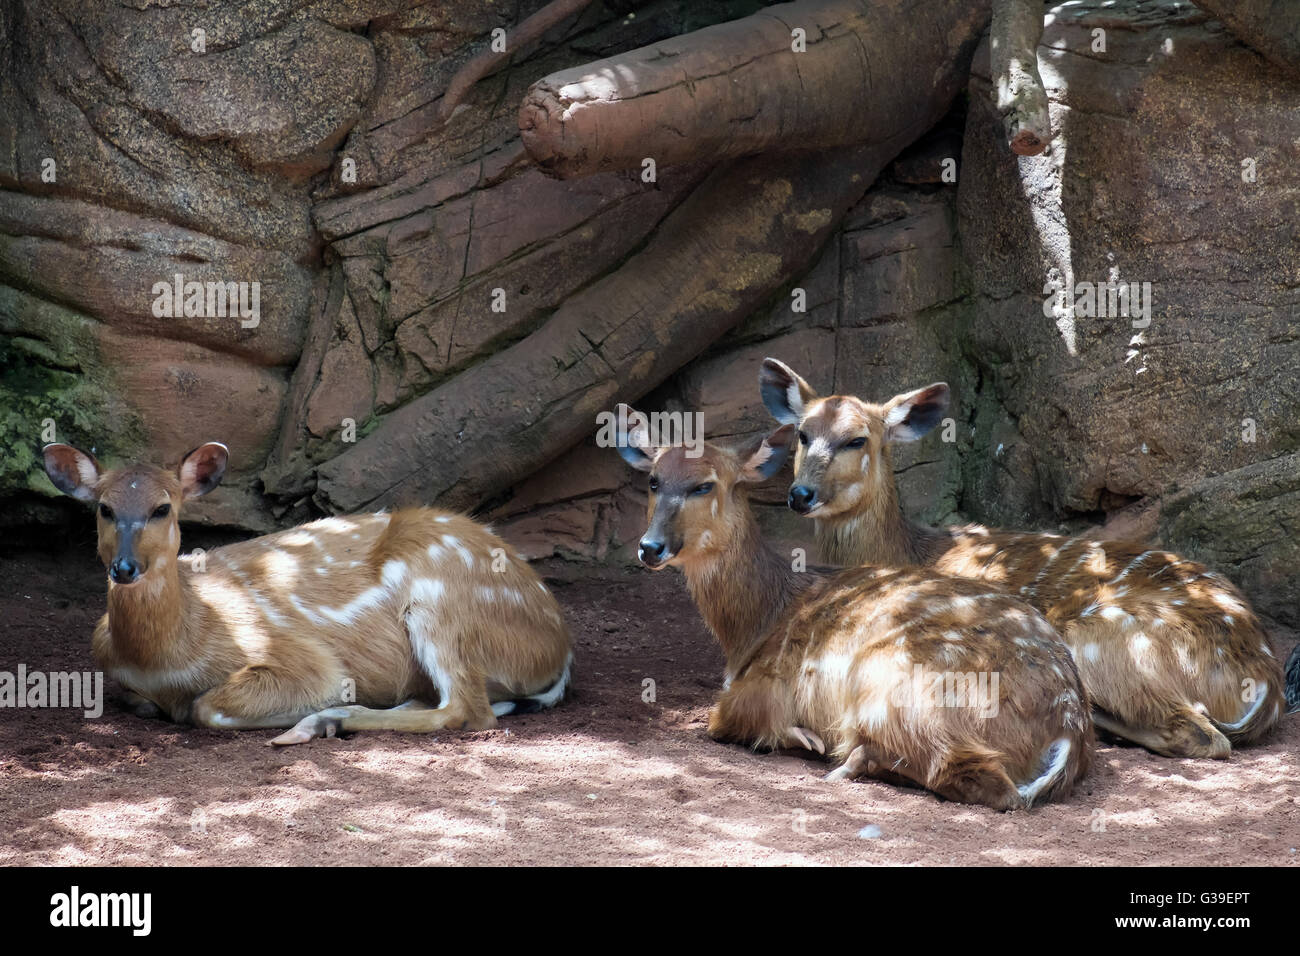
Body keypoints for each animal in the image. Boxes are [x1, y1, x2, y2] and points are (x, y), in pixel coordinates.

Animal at [42, 441, 573, 745]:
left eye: (162, 508)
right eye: (104, 508)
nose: (125, 567)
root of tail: (558, 648)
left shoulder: (300, 656)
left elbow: (205, 707)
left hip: (440, 600)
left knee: (467, 710)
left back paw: (320, 723)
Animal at [612, 404, 1092, 810]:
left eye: (704, 485)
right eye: (654, 480)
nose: (649, 547)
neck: (757, 623)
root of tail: (1068, 728)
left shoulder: (762, 686)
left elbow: (720, 719)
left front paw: (800, 736)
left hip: (897, 684)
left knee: (983, 778)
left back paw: (844, 759)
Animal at [760, 357, 1288, 759]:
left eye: (857, 439)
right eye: (802, 433)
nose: (800, 495)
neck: (911, 549)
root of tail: (1267, 681)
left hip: (1106, 636)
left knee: (1202, 733)